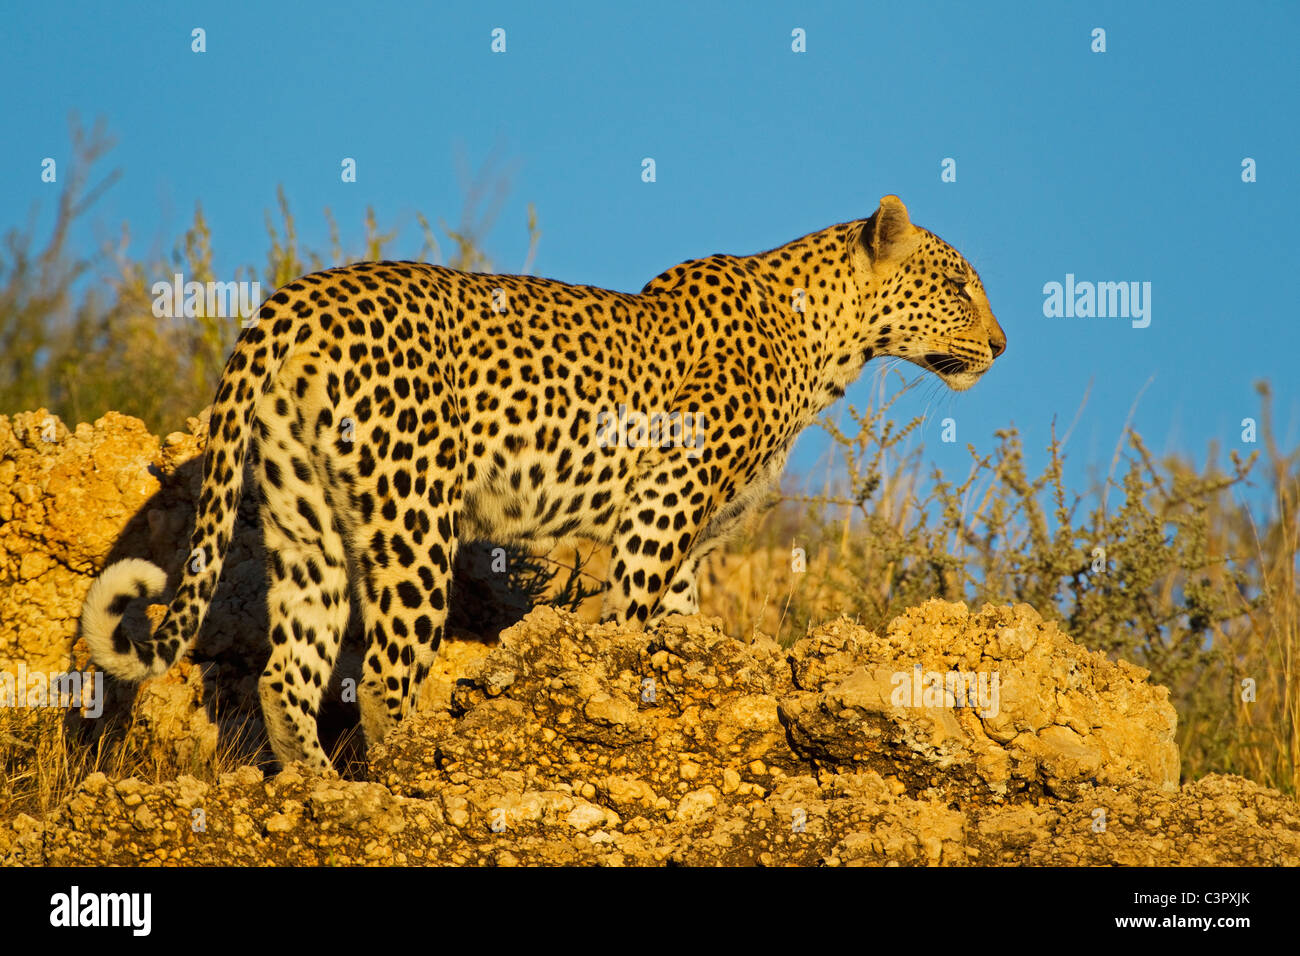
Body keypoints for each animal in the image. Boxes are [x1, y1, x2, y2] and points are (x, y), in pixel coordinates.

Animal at [81, 195, 1006, 771]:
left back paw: (322, 794)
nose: (1000, 346)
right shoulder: (661, 504)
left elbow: (675, 622)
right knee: (383, 676)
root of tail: (295, 297)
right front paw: (619, 688)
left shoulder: (688, 538)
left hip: (306, 525)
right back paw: (412, 780)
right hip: (416, 519)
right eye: (959, 286)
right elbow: (626, 620)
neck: (829, 344)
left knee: (286, 677)